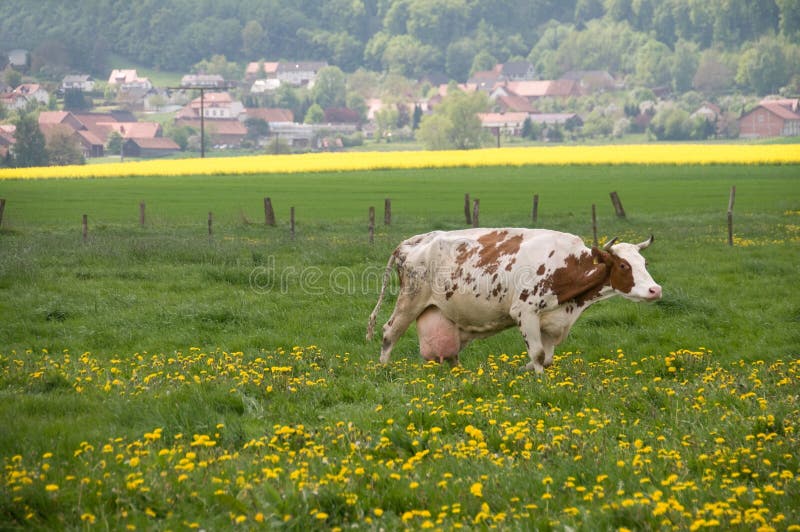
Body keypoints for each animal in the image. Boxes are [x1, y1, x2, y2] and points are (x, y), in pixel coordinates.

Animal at [366, 228, 662, 373]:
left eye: (644, 262)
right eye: (623, 265)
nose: (655, 290)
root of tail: (412, 241)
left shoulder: (552, 320)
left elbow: (546, 358)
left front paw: (525, 369)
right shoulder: (524, 312)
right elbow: (538, 354)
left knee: (450, 351)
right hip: (410, 299)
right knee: (389, 333)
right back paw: (385, 370)